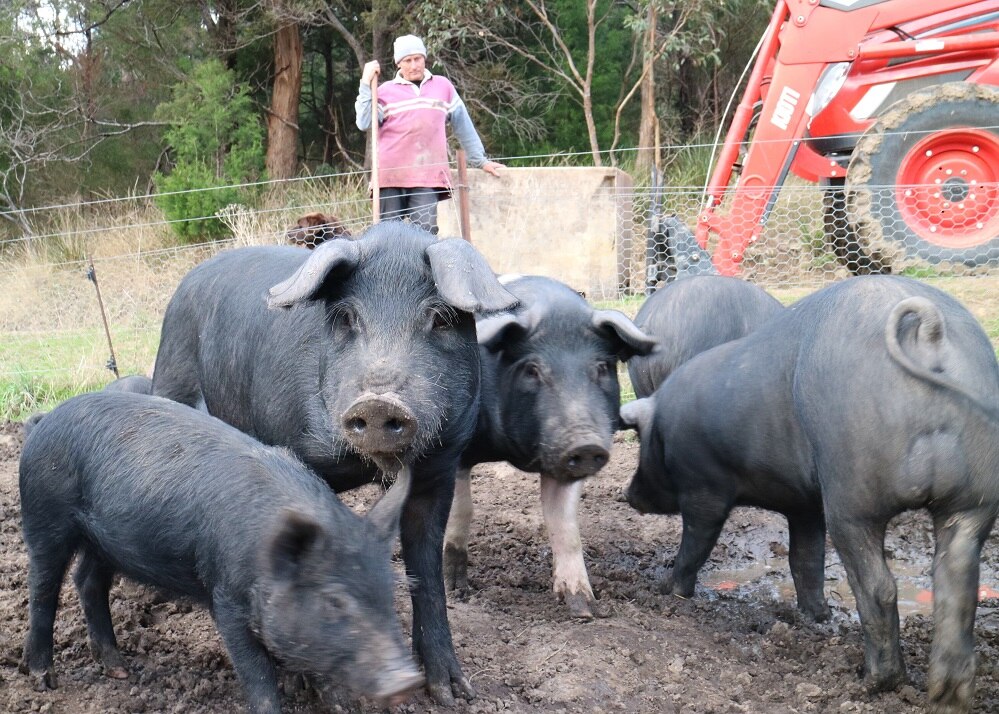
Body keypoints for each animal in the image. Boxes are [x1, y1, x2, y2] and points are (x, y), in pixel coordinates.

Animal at [18, 391, 422, 714]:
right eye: (335, 601)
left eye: (389, 596)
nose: (407, 681)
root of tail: (44, 421)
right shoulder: (225, 598)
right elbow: (257, 675)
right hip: (45, 515)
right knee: (43, 589)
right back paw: (43, 678)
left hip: (104, 542)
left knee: (88, 581)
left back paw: (119, 669)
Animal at [150, 221, 518, 704]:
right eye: (346, 318)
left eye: (439, 318)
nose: (378, 402)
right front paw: (322, 694)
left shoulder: (439, 468)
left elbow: (428, 575)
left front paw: (453, 694)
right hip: (171, 381)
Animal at [443, 275, 657, 619]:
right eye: (532, 370)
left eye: (601, 368)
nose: (585, 442)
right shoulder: (455, 450)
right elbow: (461, 512)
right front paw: (457, 593)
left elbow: (566, 528)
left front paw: (584, 609)